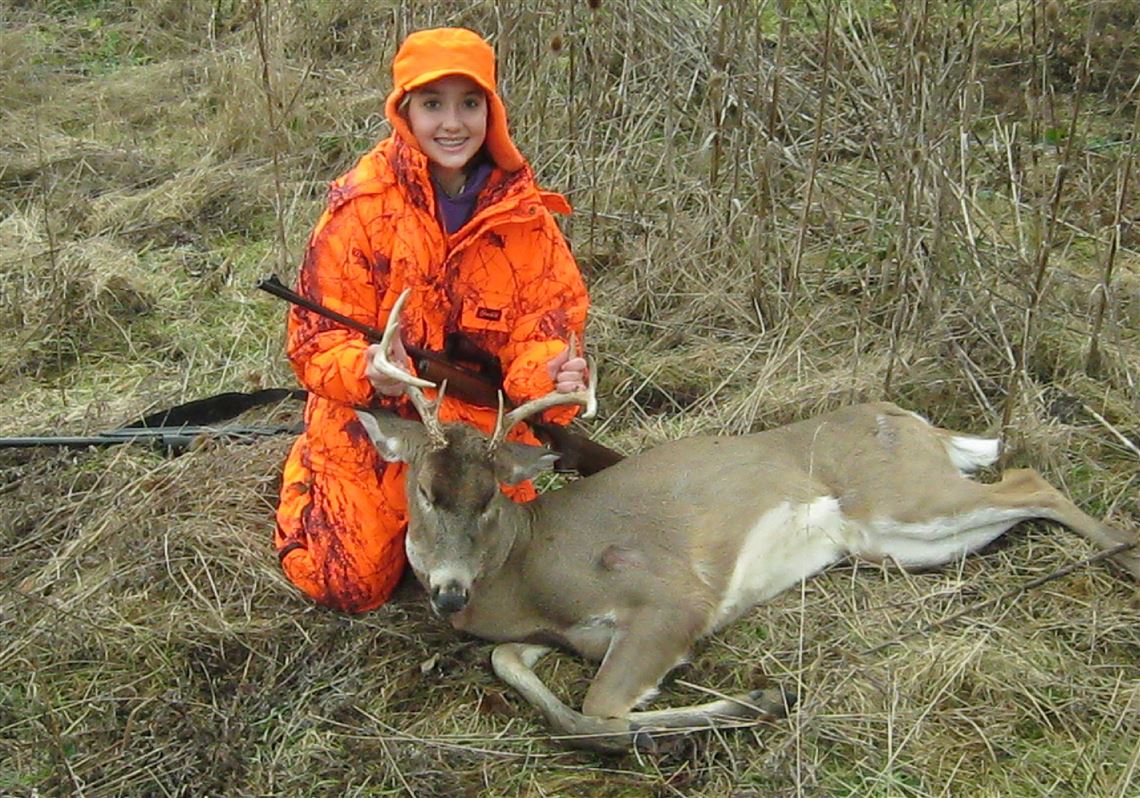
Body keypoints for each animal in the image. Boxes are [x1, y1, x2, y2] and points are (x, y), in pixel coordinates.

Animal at [354, 289, 1140, 753]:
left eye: (489, 497)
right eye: (423, 490)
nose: (449, 592)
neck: (525, 573)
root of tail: (906, 415)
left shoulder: (670, 596)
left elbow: (602, 707)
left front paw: (755, 700)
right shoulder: (558, 635)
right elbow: (514, 666)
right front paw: (752, 702)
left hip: (900, 498)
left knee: (1031, 479)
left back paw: (1123, 552)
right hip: (895, 542)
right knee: (1017, 494)